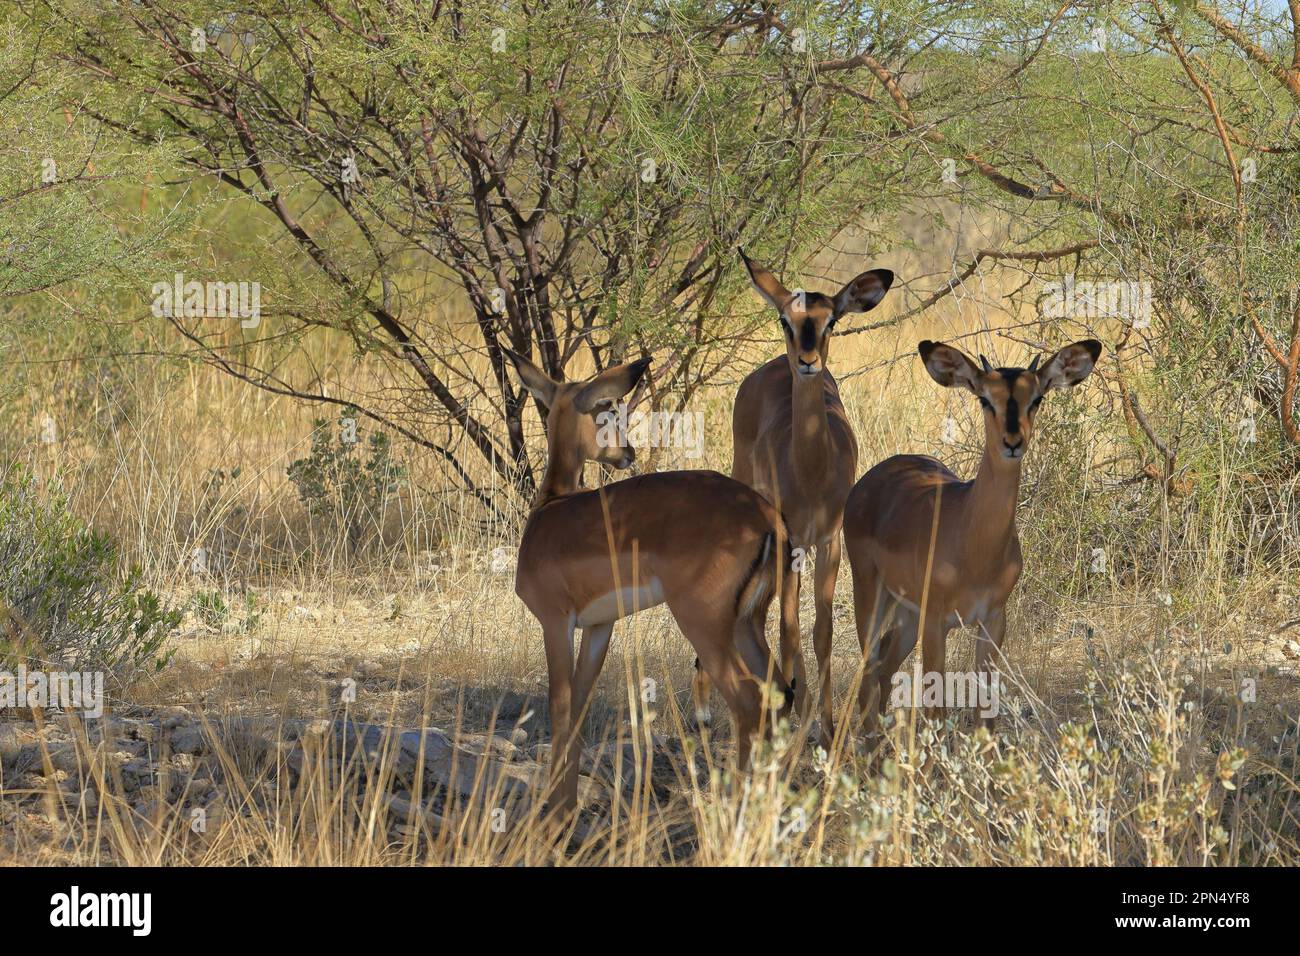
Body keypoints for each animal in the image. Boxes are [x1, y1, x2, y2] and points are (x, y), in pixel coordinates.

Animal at [503, 348, 798, 816]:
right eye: (606, 408)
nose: (627, 453)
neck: (552, 509)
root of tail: (768, 515)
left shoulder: (555, 621)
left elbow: (560, 706)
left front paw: (554, 811)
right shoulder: (599, 626)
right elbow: (580, 707)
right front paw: (566, 804)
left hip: (704, 625)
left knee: (749, 701)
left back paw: (735, 807)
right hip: (746, 622)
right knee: (780, 696)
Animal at [694, 248, 894, 745]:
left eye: (831, 320)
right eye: (786, 319)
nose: (806, 361)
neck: (811, 471)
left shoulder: (829, 540)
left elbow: (820, 629)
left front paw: (825, 723)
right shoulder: (788, 538)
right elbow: (788, 626)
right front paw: (793, 717)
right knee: (766, 615)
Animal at [843, 339, 1102, 735]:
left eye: (1037, 398)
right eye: (984, 399)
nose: (1013, 442)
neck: (974, 546)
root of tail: (870, 480)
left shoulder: (992, 621)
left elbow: (986, 712)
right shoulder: (937, 624)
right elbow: (936, 711)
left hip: (906, 613)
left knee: (884, 671)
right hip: (871, 595)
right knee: (869, 676)